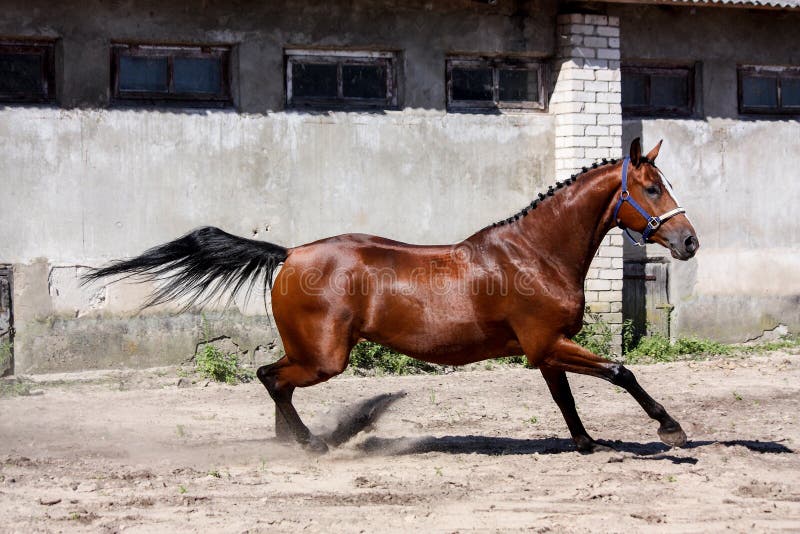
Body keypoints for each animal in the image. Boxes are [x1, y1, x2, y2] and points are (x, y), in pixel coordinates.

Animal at [83, 138, 699, 454]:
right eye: (651, 188)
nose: (688, 241)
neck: (535, 254)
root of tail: (289, 254)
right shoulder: (547, 343)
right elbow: (621, 370)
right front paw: (670, 428)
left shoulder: (545, 350)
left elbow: (566, 400)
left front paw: (586, 444)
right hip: (325, 357)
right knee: (271, 377)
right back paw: (309, 443)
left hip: (315, 353)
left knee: (275, 381)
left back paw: (296, 440)